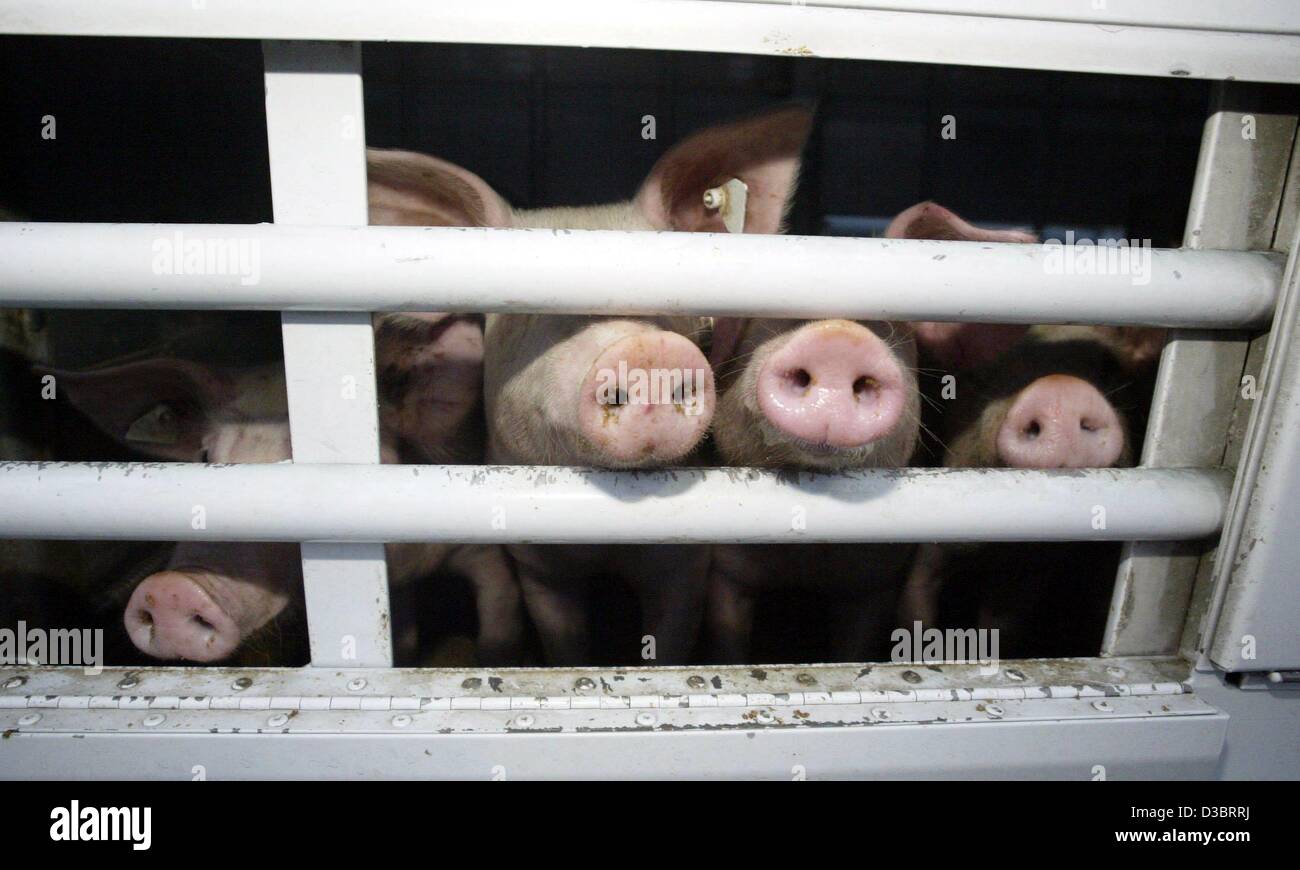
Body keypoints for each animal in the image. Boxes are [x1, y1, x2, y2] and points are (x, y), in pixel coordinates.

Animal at [705, 202, 1039, 663]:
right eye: (765, 315)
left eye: (891, 323)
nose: (838, 338)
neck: (804, 560)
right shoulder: (728, 572)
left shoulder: (876, 580)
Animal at [899, 323, 1163, 657]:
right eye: (980, 376)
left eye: (1110, 369)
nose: (1062, 389)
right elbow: (916, 603)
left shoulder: (1031, 570)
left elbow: (1002, 623)